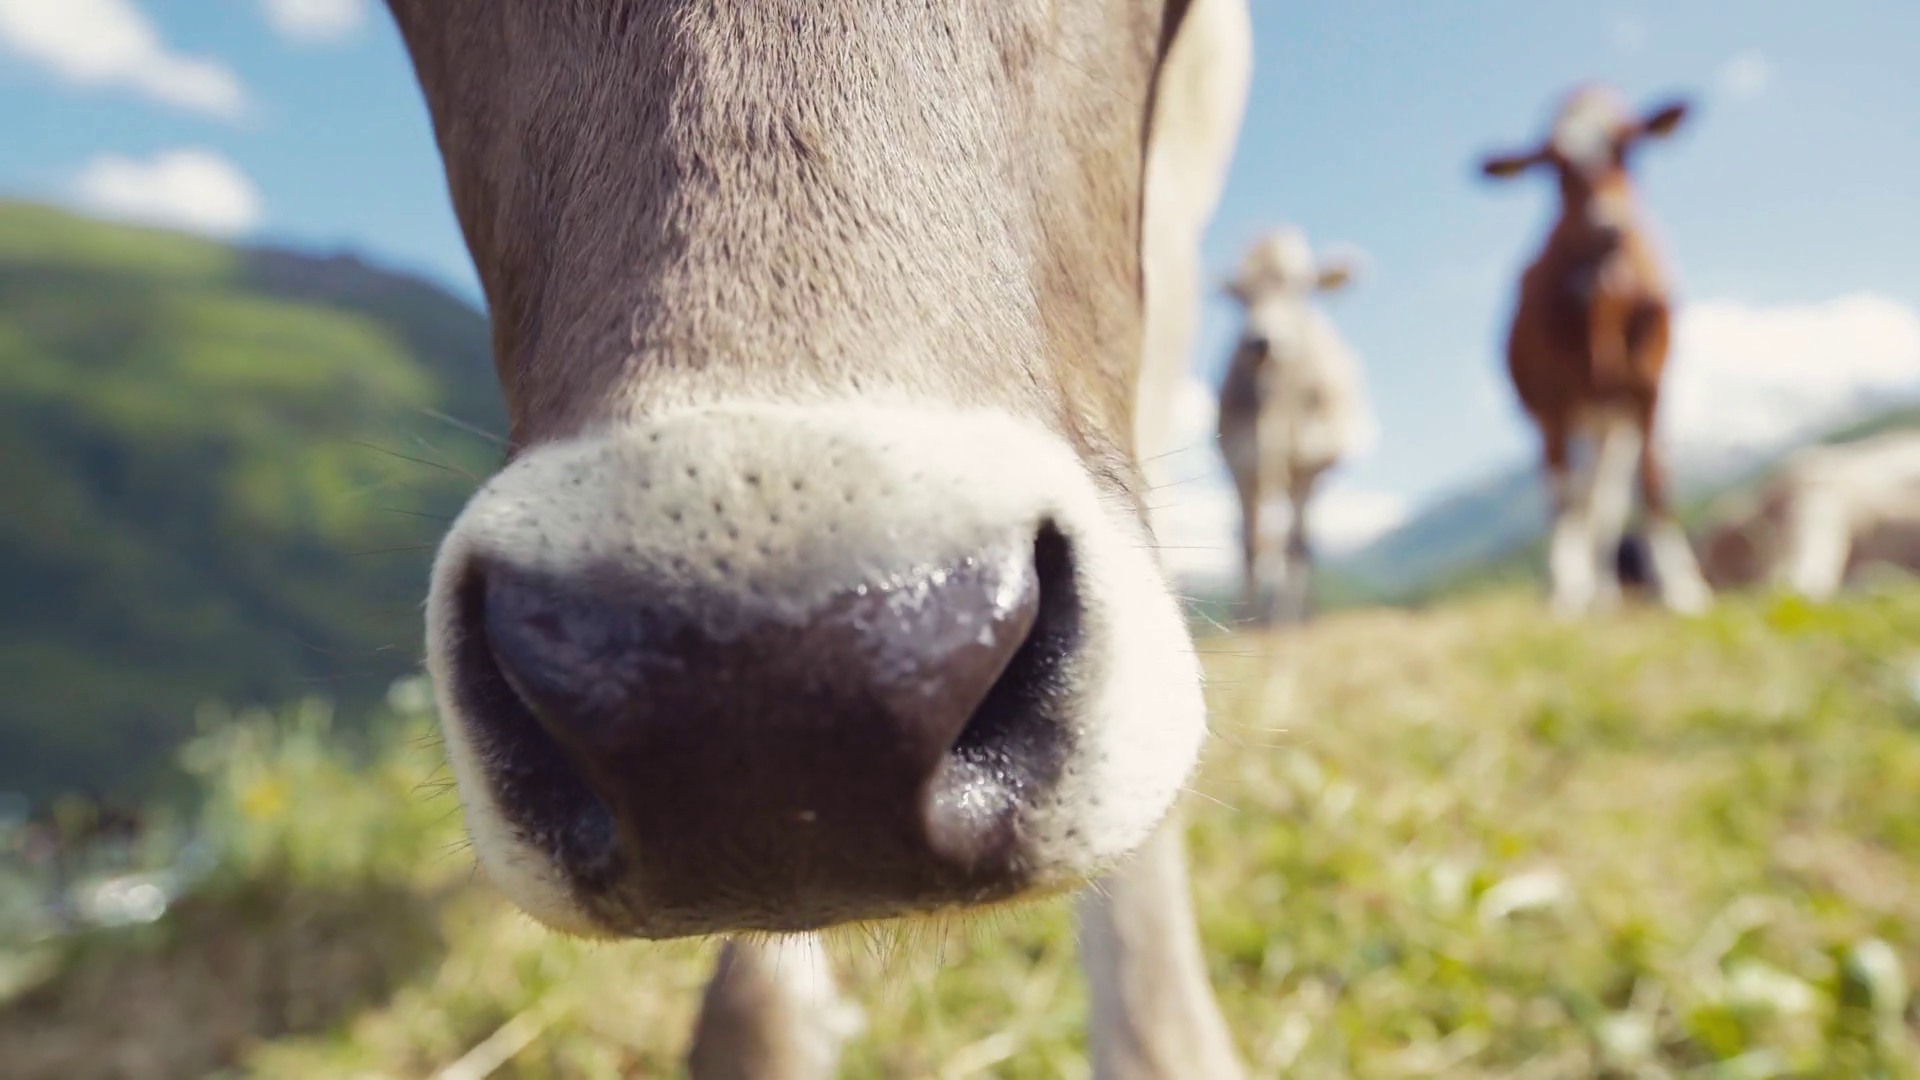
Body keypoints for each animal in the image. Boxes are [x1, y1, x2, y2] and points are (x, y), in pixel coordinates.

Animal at [1215, 227, 1375, 623]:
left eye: (1299, 284)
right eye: (1240, 295)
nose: (1260, 342)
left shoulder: (1309, 462)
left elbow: (1294, 546)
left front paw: (1285, 620)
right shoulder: (1241, 461)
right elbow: (1250, 543)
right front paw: (1251, 622)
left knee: (1302, 541)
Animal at [1479, 83, 1713, 617]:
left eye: (1629, 148)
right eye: (1554, 167)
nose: (1607, 229)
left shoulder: (1649, 390)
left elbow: (1653, 483)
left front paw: (1682, 587)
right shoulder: (1552, 404)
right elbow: (1566, 498)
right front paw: (1566, 591)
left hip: (1612, 421)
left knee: (1604, 500)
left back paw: (1604, 589)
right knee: (1575, 494)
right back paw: (1580, 585)